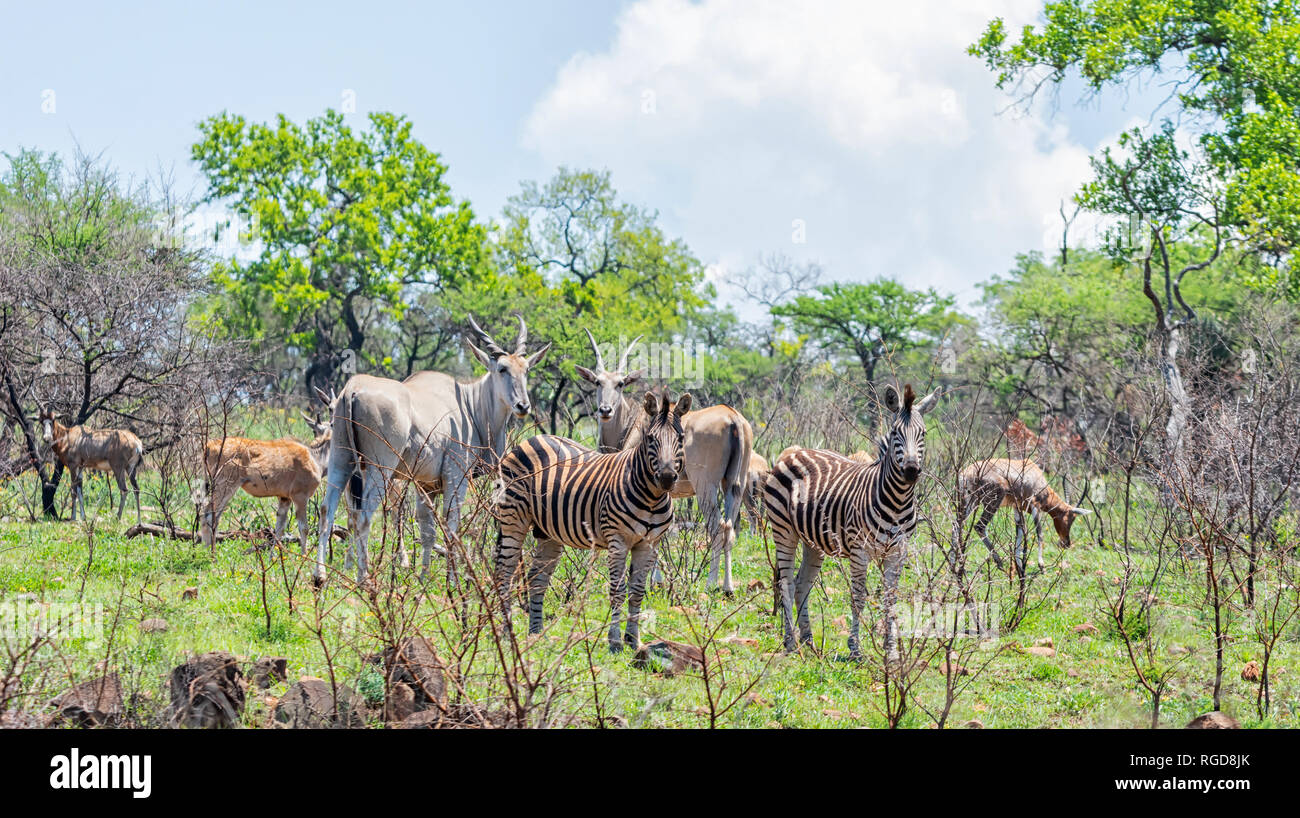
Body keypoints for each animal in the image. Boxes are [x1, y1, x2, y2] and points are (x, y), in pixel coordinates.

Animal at [493, 390, 691, 653]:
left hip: (548, 532)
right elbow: (618, 591)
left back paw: (536, 634)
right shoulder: (618, 541)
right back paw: (507, 634)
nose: (667, 478)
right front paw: (615, 642)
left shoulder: (649, 545)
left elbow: (637, 592)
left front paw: (633, 640)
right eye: (650, 438)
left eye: (680, 438)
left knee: (537, 579)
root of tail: (530, 440)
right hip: (513, 519)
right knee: (504, 574)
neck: (652, 497)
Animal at [764, 384, 942, 662]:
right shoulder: (860, 551)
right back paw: (790, 642)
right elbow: (858, 598)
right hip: (783, 529)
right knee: (786, 583)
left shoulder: (898, 552)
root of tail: (794, 451)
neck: (898, 501)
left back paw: (809, 640)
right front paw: (856, 648)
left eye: (922, 433)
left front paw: (891, 651)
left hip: (812, 541)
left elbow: (890, 600)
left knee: (803, 584)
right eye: (895, 433)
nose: (911, 470)